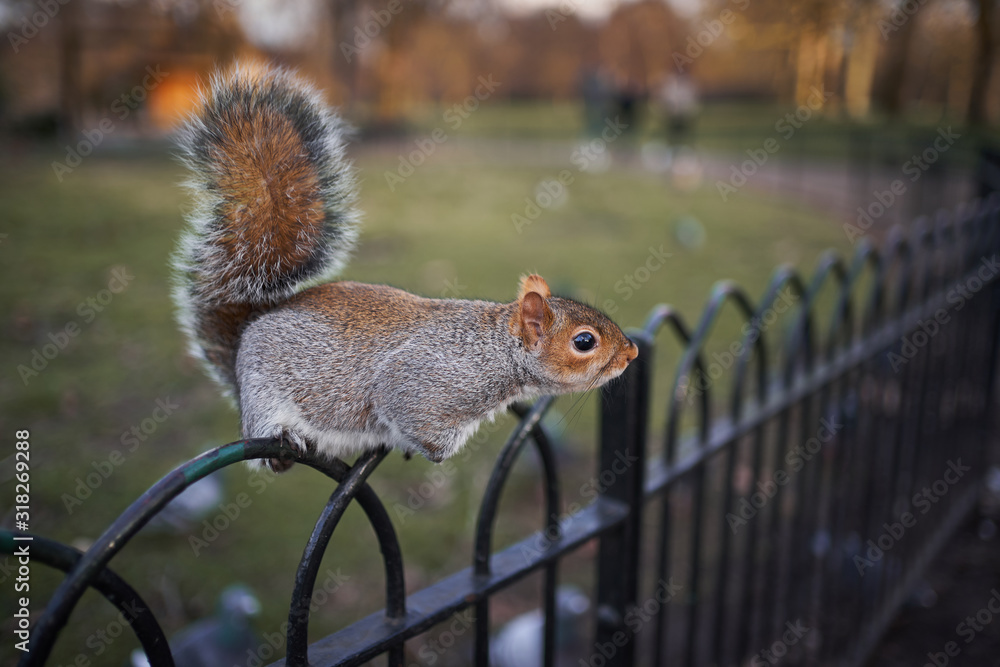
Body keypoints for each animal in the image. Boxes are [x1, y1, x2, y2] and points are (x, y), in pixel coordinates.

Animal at [172, 64, 638, 471]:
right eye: (584, 342)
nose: (631, 353)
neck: (495, 351)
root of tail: (245, 336)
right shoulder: (423, 384)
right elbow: (414, 420)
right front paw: (435, 450)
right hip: (263, 394)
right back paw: (283, 441)